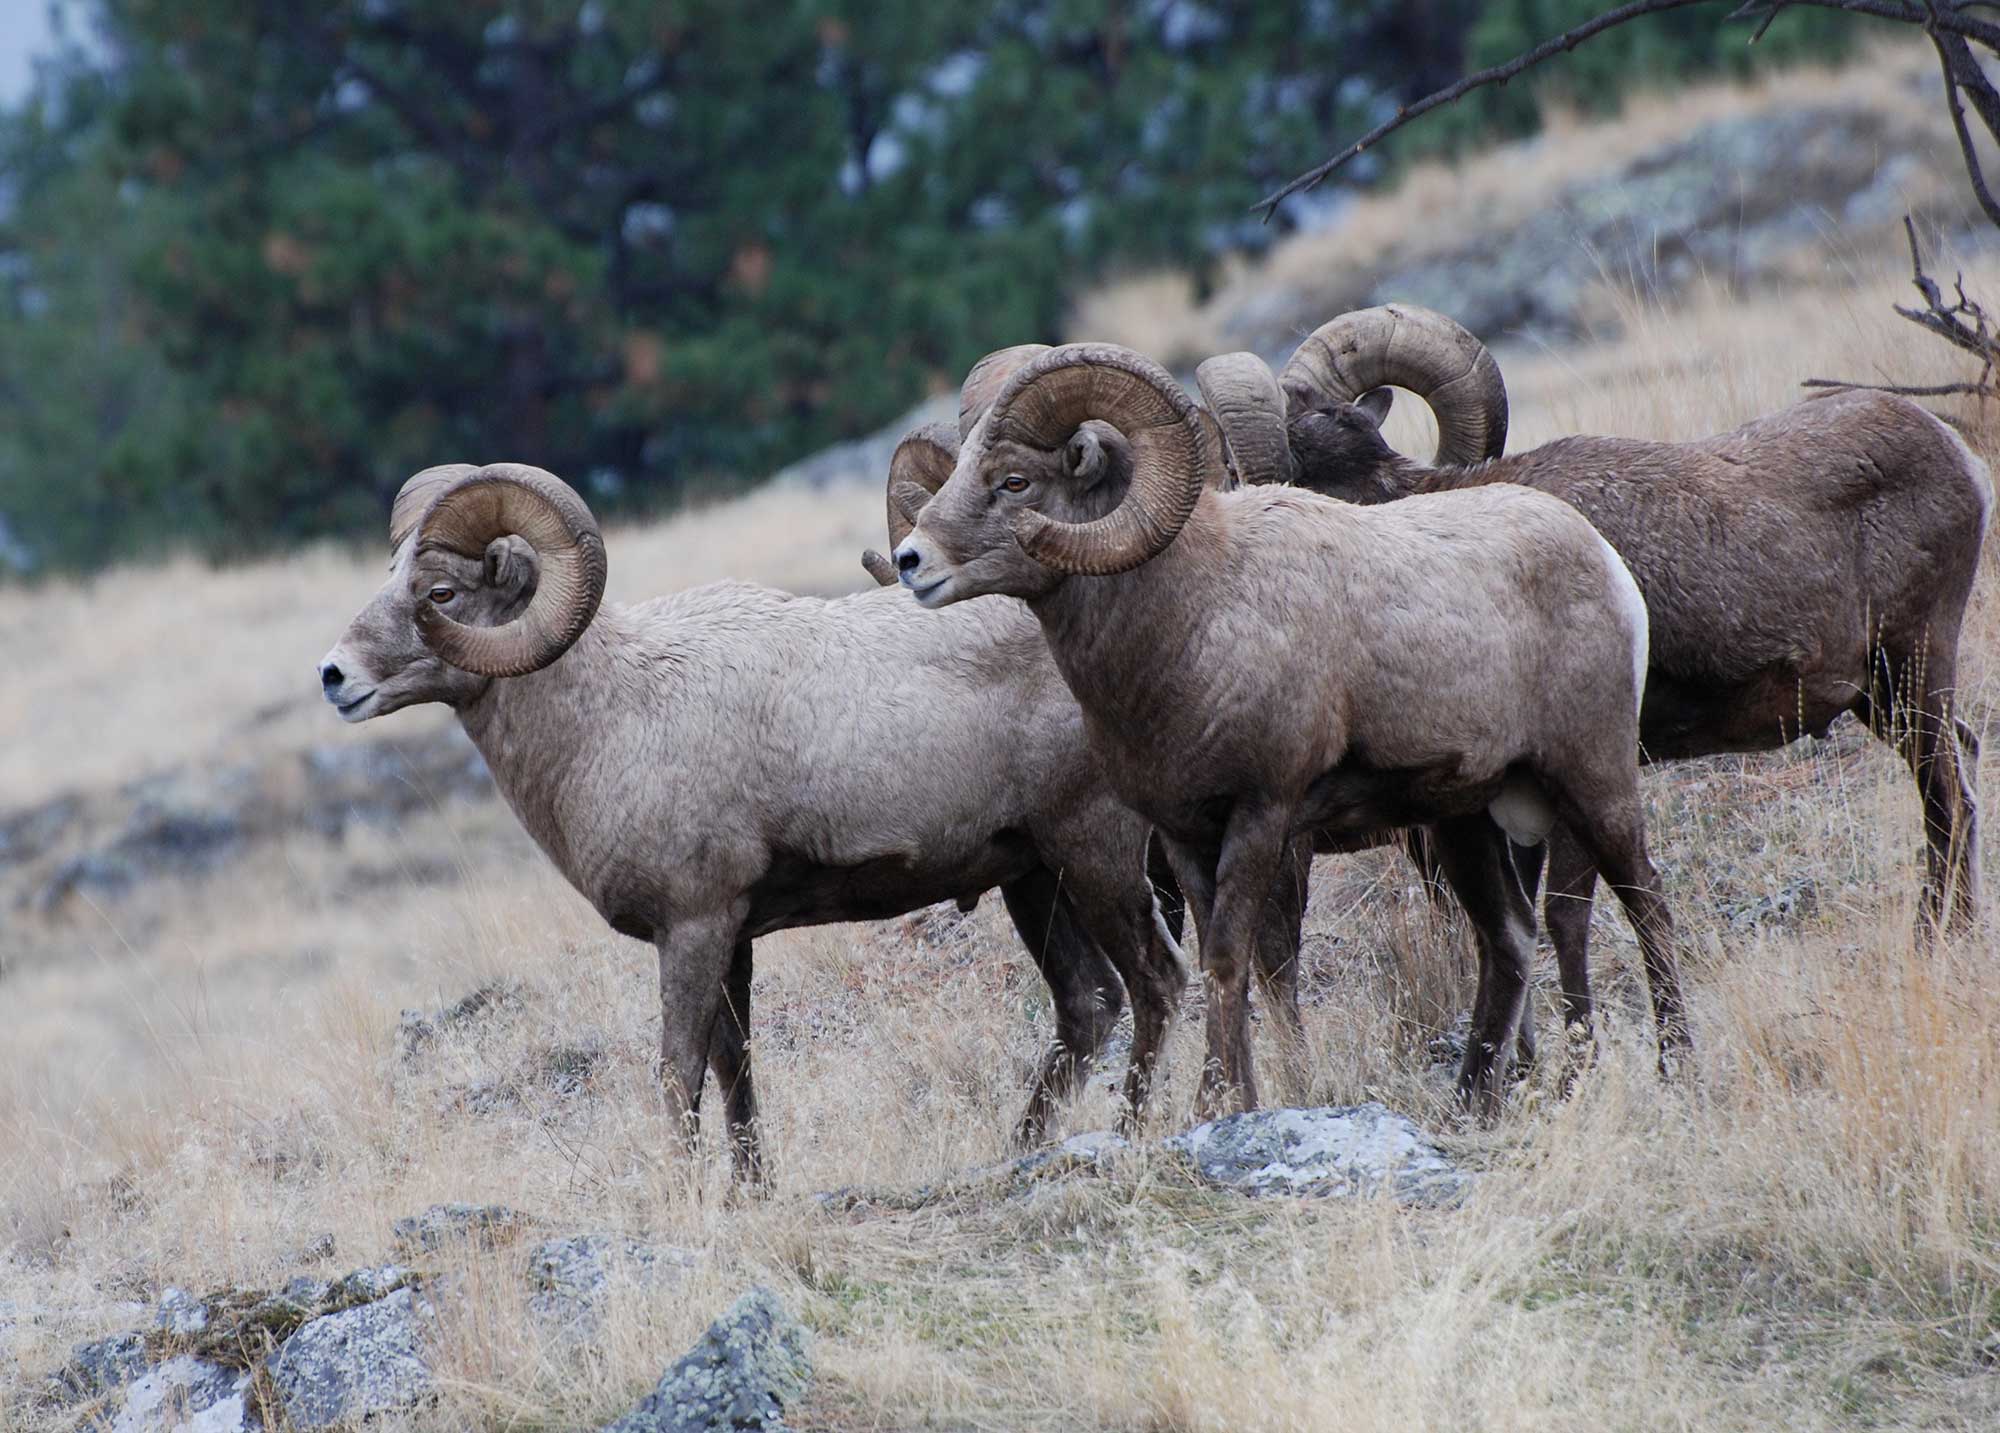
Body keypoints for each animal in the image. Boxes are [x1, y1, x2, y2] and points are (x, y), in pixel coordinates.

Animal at [317, 460, 1188, 1180]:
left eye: (440, 594)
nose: (334, 676)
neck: (612, 716)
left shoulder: (694, 926)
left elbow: (680, 1073)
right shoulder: (730, 936)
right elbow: (735, 1068)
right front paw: (749, 1192)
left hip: (1093, 851)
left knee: (1159, 981)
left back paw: (1135, 1130)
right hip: (1033, 877)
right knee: (1089, 1006)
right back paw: (1019, 1146)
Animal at [889, 343, 1688, 1119]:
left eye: (1015, 481)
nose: (912, 563)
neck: (1194, 617)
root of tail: (1604, 562)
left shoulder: (1262, 817)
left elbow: (1230, 958)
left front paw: (1216, 1105)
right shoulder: (1185, 836)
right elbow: (1235, 963)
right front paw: (1239, 1100)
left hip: (1593, 781)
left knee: (1645, 898)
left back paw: (1679, 1068)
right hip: (1464, 823)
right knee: (1510, 938)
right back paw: (1472, 1104)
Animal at [1203, 304, 1988, 1046]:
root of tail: (1957, 454)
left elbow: (1565, 916)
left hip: (1915, 668)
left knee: (1947, 801)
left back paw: (1942, 944)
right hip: (1881, 700)